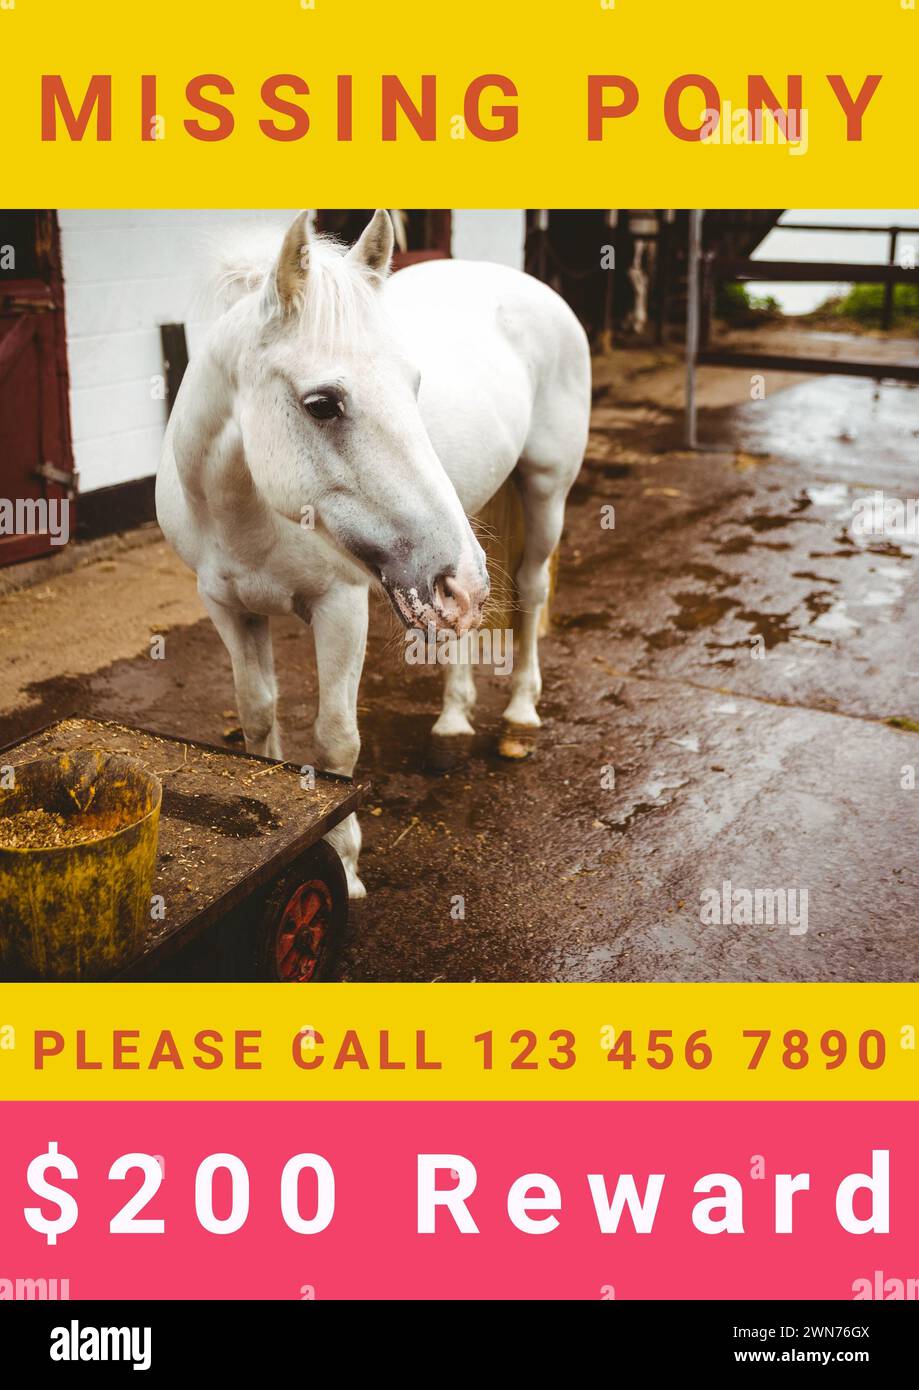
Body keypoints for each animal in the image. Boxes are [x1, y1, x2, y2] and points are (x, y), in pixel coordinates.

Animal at [156, 210, 591, 898]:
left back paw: (520, 714)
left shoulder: (340, 607)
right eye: (322, 403)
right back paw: (451, 725)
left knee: (530, 590)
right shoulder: (227, 607)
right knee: (465, 622)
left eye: (415, 385)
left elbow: (336, 743)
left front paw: (344, 865)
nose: (459, 576)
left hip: (541, 493)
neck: (245, 515)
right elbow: (256, 719)